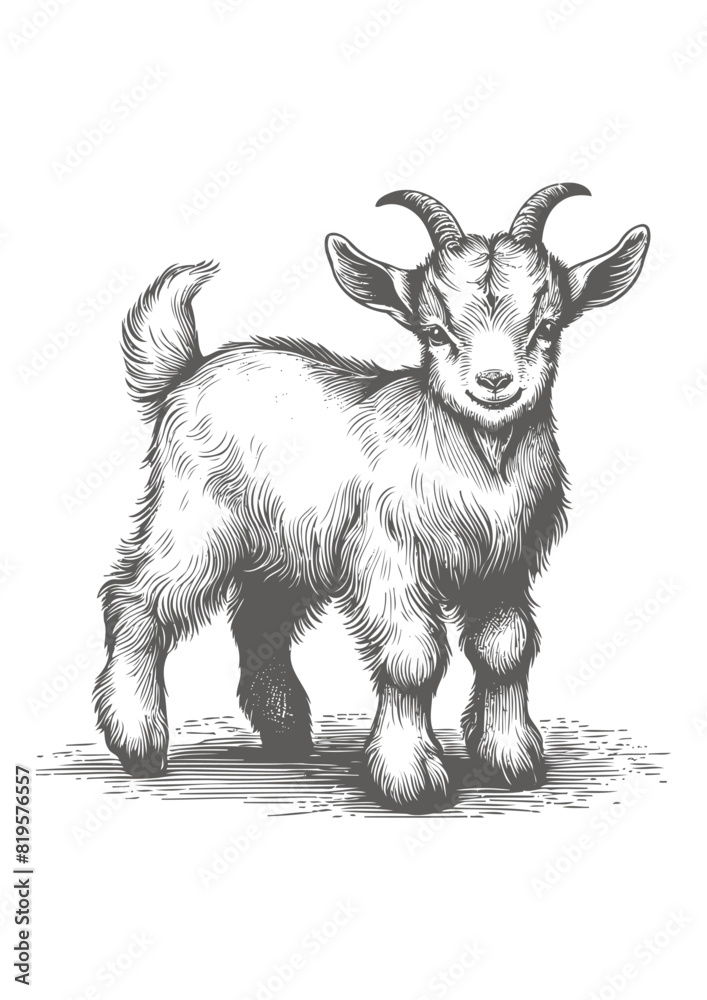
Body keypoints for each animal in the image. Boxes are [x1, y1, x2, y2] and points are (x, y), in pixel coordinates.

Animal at [94, 183, 649, 810]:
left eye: (548, 326)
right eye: (435, 331)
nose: (494, 383)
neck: (479, 460)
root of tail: (185, 371)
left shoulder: (503, 566)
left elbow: (506, 649)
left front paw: (511, 758)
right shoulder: (389, 555)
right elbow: (414, 657)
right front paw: (411, 778)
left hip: (286, 551)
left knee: (258, 621)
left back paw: (287, 732)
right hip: (194, 518)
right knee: (136, 599)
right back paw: (138, 741)